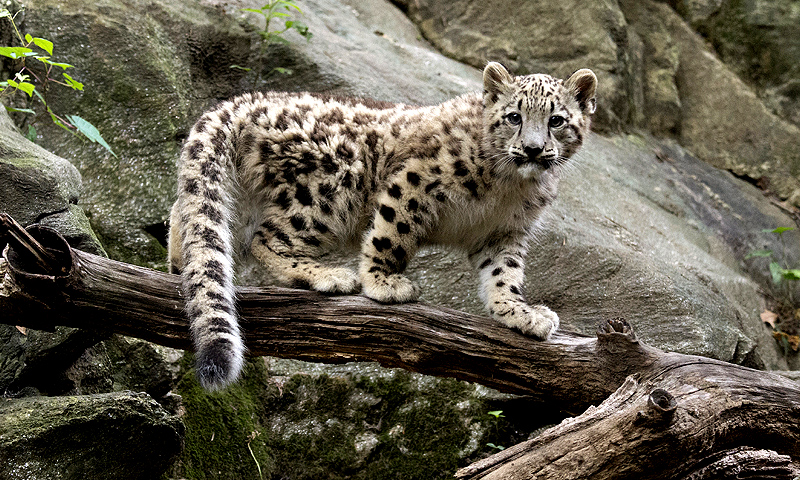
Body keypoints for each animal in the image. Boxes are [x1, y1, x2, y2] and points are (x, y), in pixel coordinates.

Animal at [168, 62, 597, 390]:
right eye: (514, 117)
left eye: (557, 120)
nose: (533, 149)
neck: (508, 187)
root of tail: (248, 100)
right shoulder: (415, 183)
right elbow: (392, 235)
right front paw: (383, 283)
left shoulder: (505, 232)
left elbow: (503, 274)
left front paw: (518, 312)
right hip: (324, 194)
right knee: (264, 239)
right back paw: (329, 275)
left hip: (238, 193)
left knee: (193, 215)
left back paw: (179, 263)